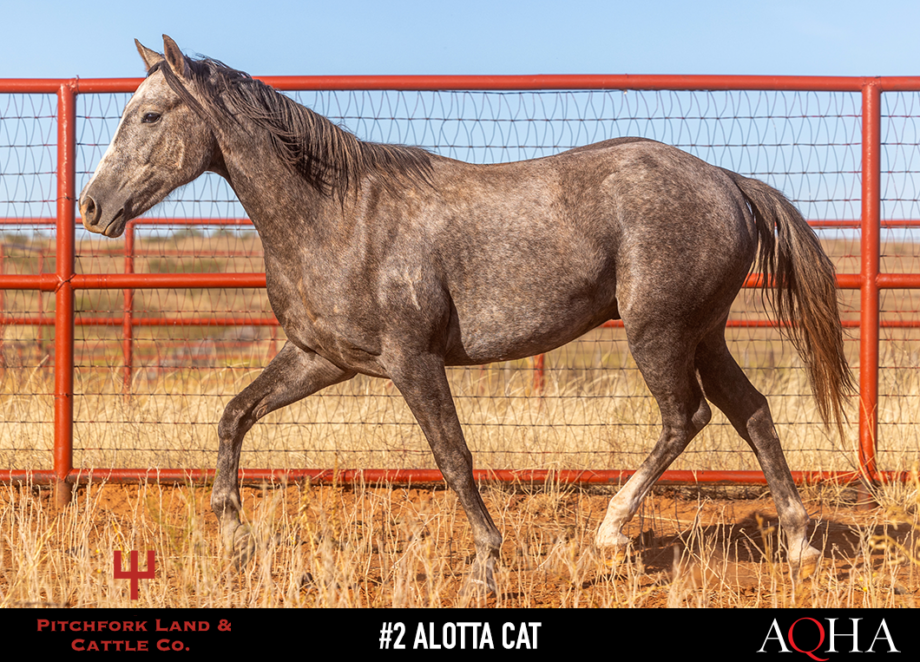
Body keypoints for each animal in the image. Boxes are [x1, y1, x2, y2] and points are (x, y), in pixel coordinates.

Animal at [79, 36, 853, 594]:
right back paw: (800, 546)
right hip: (704, 333)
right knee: (751, 412)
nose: (92, 207)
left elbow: (452, 457)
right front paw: (236, 539)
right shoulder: (323, 359)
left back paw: (610, 533)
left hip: (657, 332)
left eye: (150, 115)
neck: (335, 215)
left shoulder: (411, 360)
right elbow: (234, 415)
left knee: (685, 417)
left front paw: (486, 564)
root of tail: (729, 181)